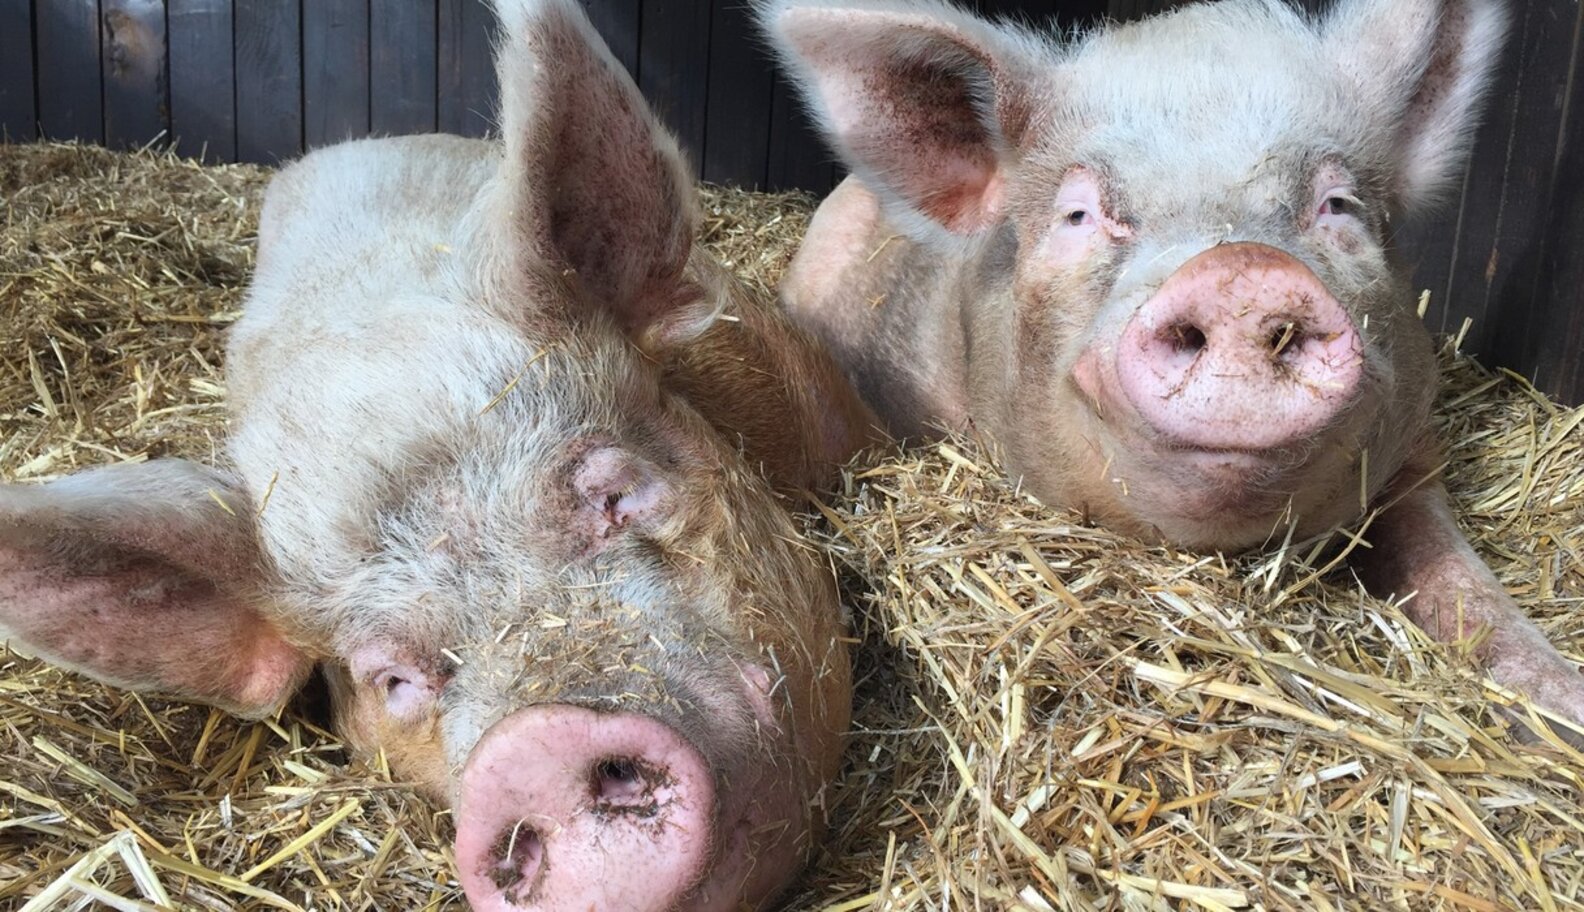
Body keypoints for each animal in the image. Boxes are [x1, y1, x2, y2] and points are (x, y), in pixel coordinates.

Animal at [764, 0, 1584, 732]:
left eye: (1338, 204)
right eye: (1078, 215)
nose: (1240, 269)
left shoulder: (1415, 454)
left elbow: (1458, 579)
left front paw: (1564, 705)